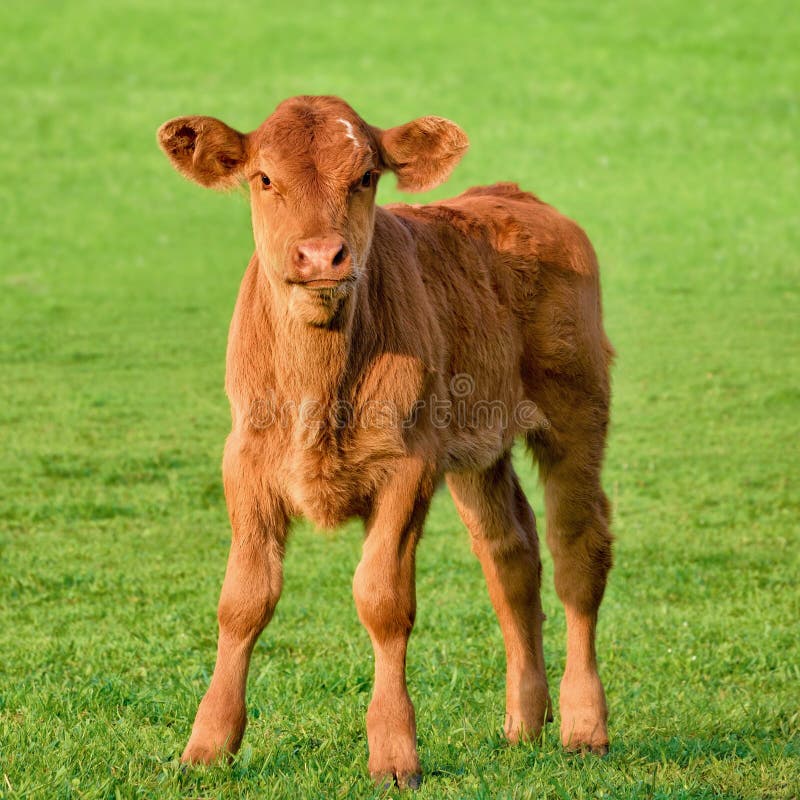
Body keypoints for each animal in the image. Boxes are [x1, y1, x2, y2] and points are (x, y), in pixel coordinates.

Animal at [157, 95, 615, 788]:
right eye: (264, 179)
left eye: (366, 177)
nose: (322, 255)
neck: (317, 387)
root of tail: (519, 197)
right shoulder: (246, 463)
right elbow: (243, 600)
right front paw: (207, 745)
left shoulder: (407, 466)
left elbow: (383, 599)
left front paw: (395, 752)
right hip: (478, 451)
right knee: (510, 556)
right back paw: (524, 722)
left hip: (577, 413)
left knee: (577, 553)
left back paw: (585, 726)